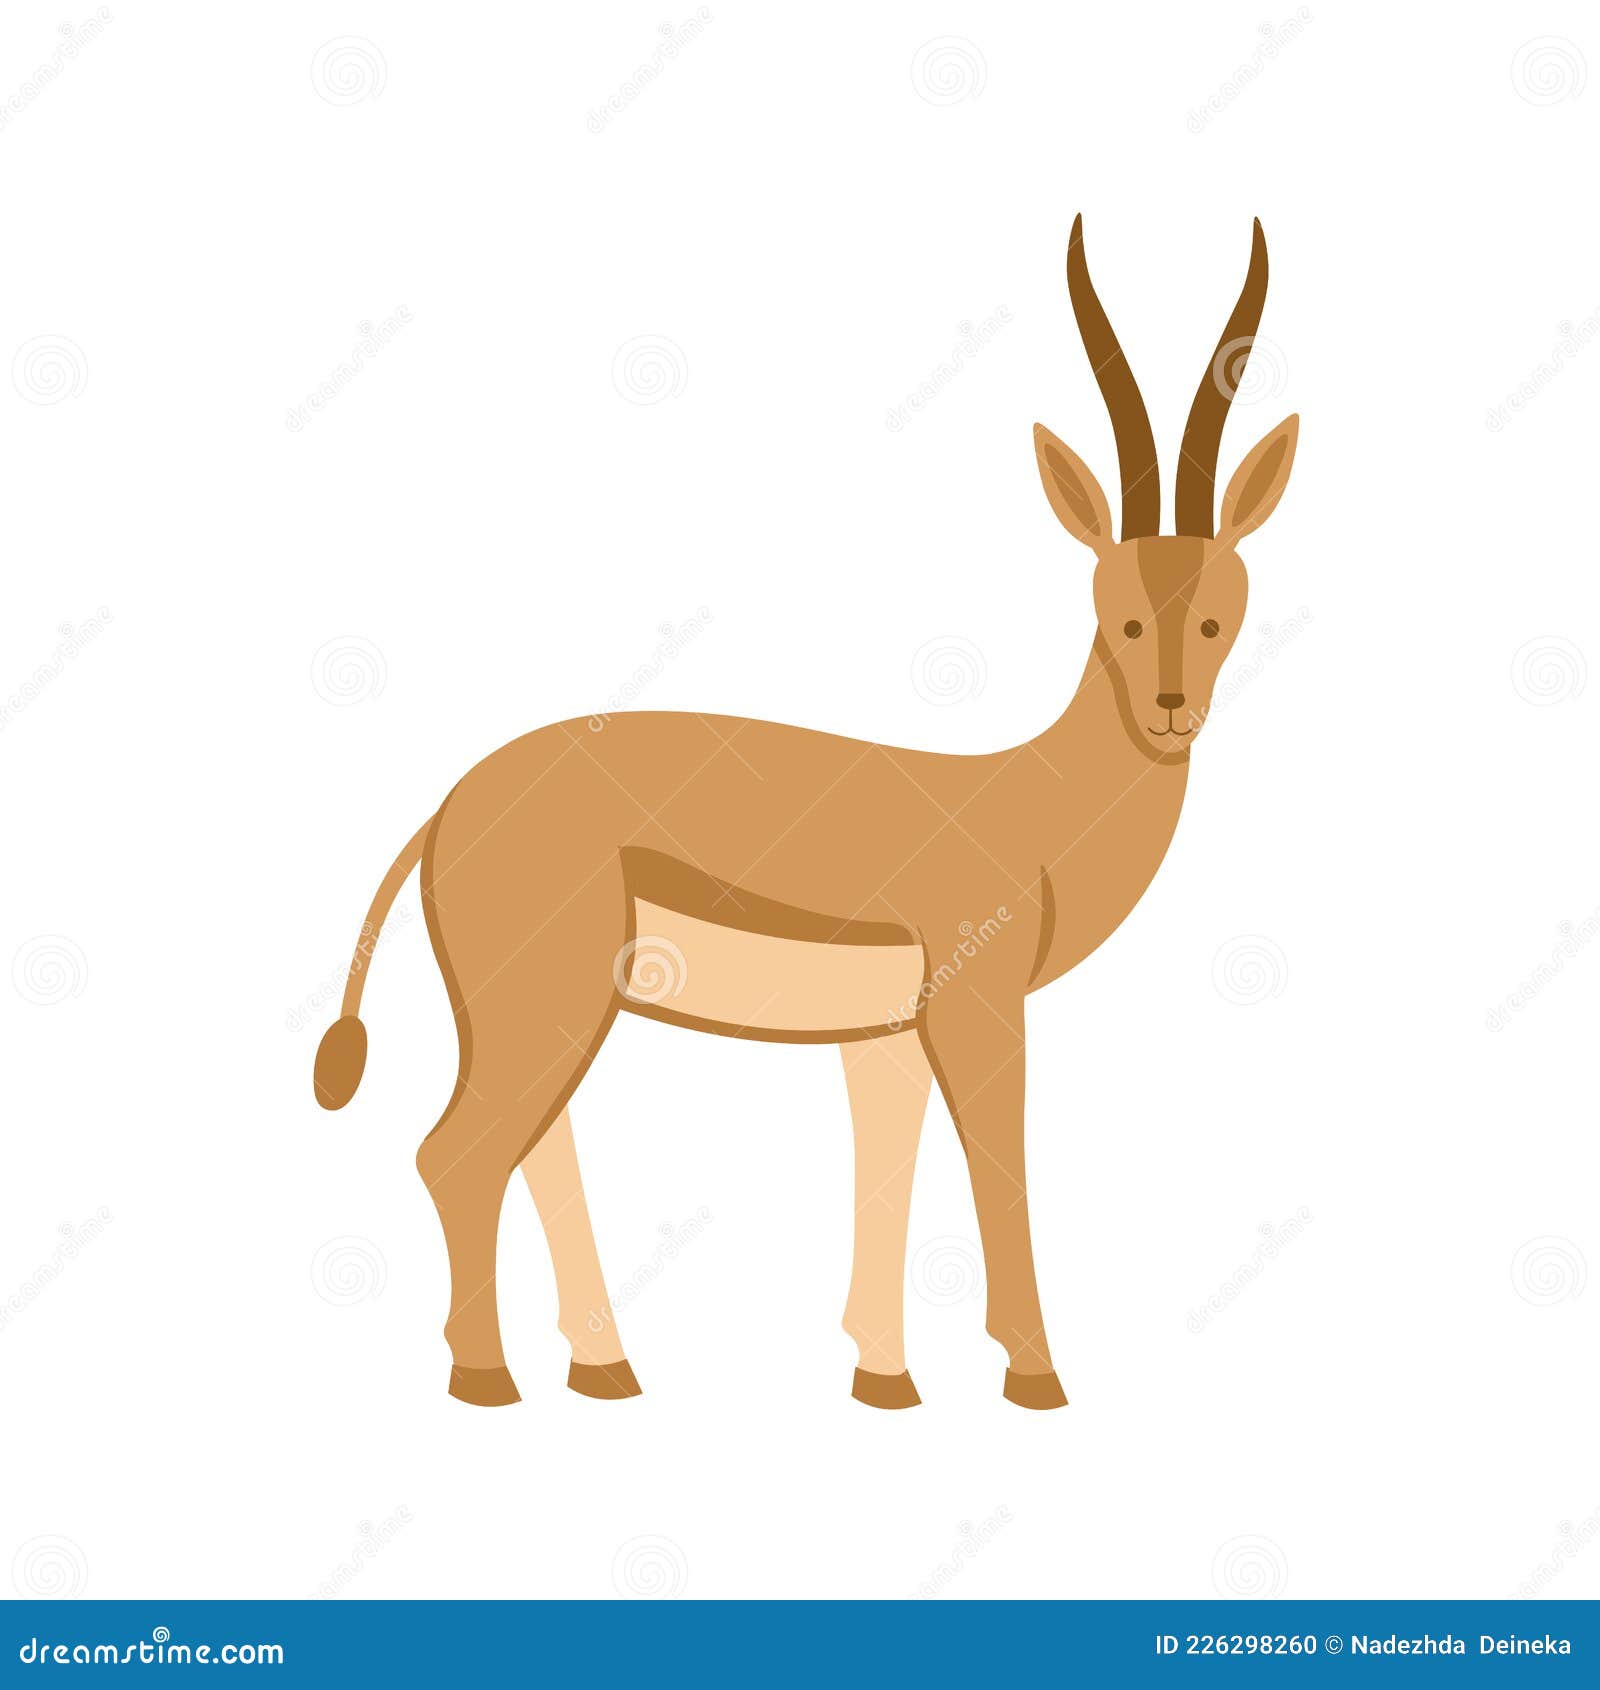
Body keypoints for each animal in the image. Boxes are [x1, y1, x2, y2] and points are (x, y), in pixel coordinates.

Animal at [314, 215, 1297, 1411]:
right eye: (1118, 613)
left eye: (1216, 612)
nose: (1169, 712)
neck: (1025, 807)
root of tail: (447, 804)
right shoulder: (979, 1010)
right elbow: (996, 1160)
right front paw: (1033, 1373)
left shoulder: (884, 1035)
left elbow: (889, 1169)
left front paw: (884, 1377)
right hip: (544, 1007)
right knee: (455, 1152)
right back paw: (488, 1378)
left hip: (545, 1010)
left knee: (529, 1147)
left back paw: (603, 1369)